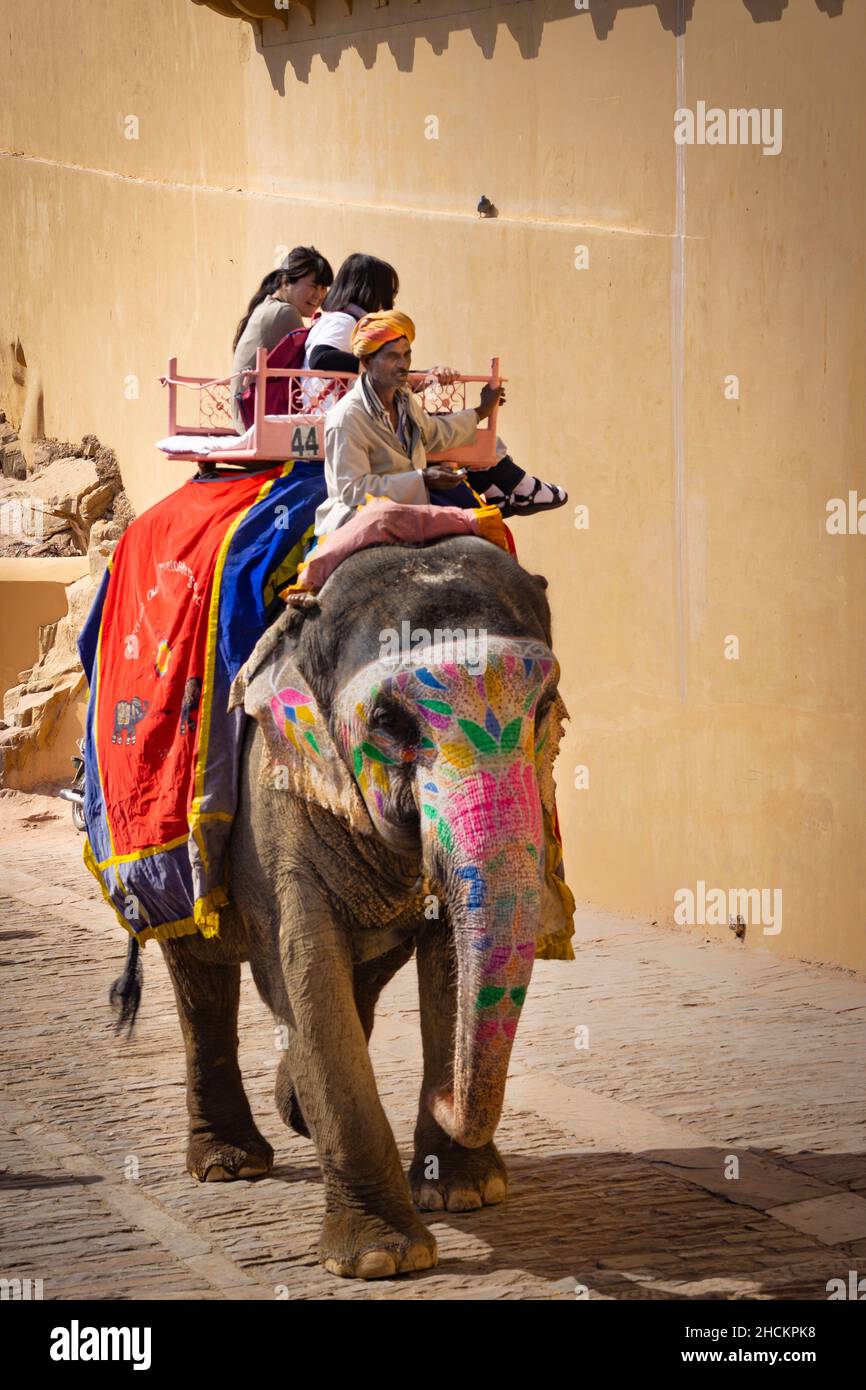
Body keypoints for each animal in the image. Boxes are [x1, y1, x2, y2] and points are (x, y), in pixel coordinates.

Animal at [157, 535, 574, 1280]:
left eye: (545, 703)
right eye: (388, 720)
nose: (445, 1092)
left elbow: (445, 965)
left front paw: (465, 1193)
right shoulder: (276, 798)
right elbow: (309, 972)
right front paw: (383, 1259)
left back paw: (292, 1111)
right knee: (201, 976)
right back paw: (230, 1164)